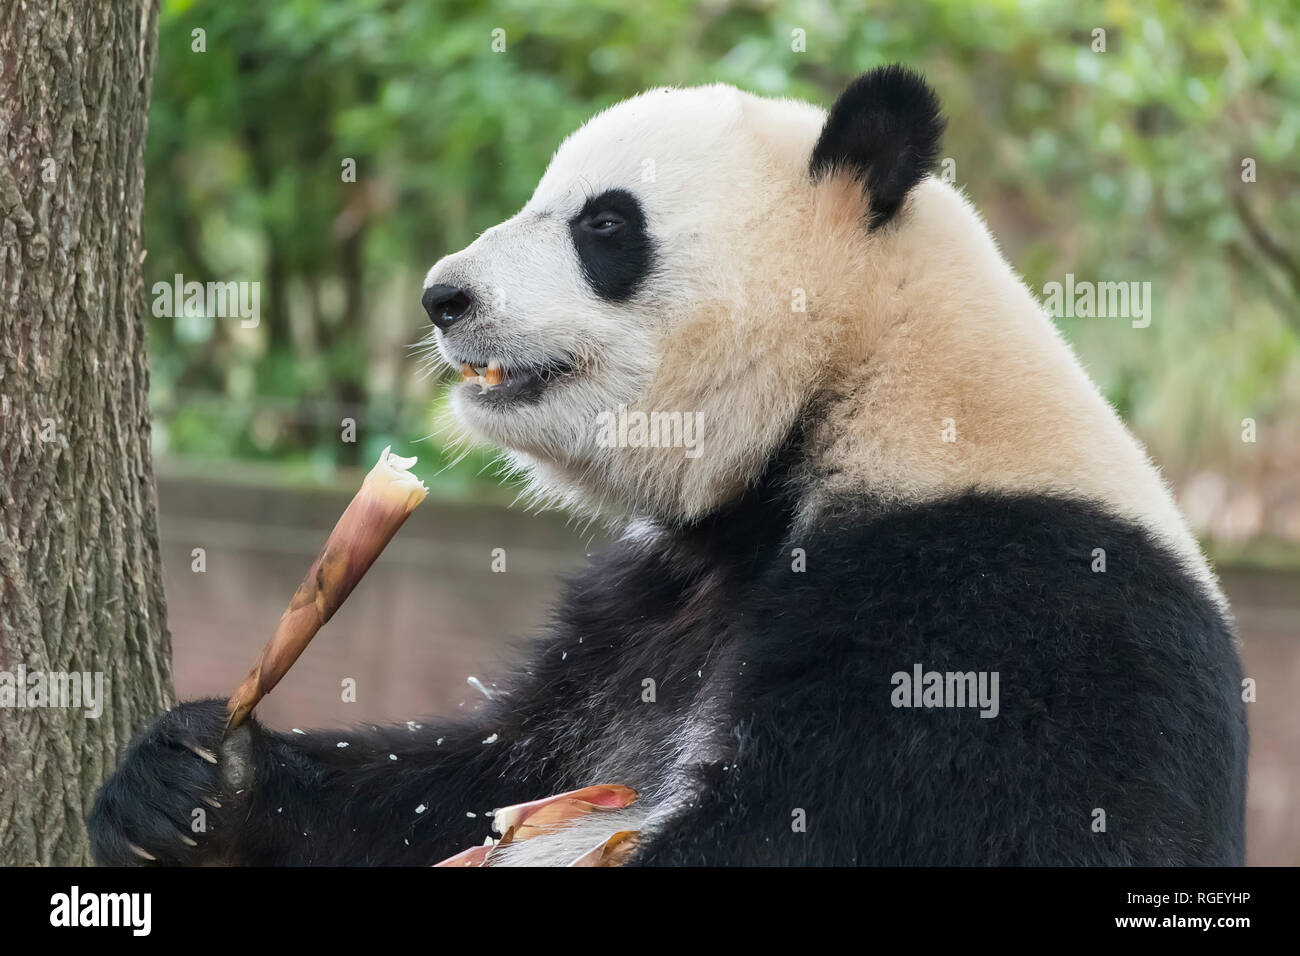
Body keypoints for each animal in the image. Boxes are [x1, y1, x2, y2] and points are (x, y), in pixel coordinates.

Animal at [89, 66, 1247, 866]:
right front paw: (200, 785)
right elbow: (492, 771)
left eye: (606, 222)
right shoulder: (655, 603)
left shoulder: (988, 613)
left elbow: (820, 828)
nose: (443, 296)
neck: (856, 385)